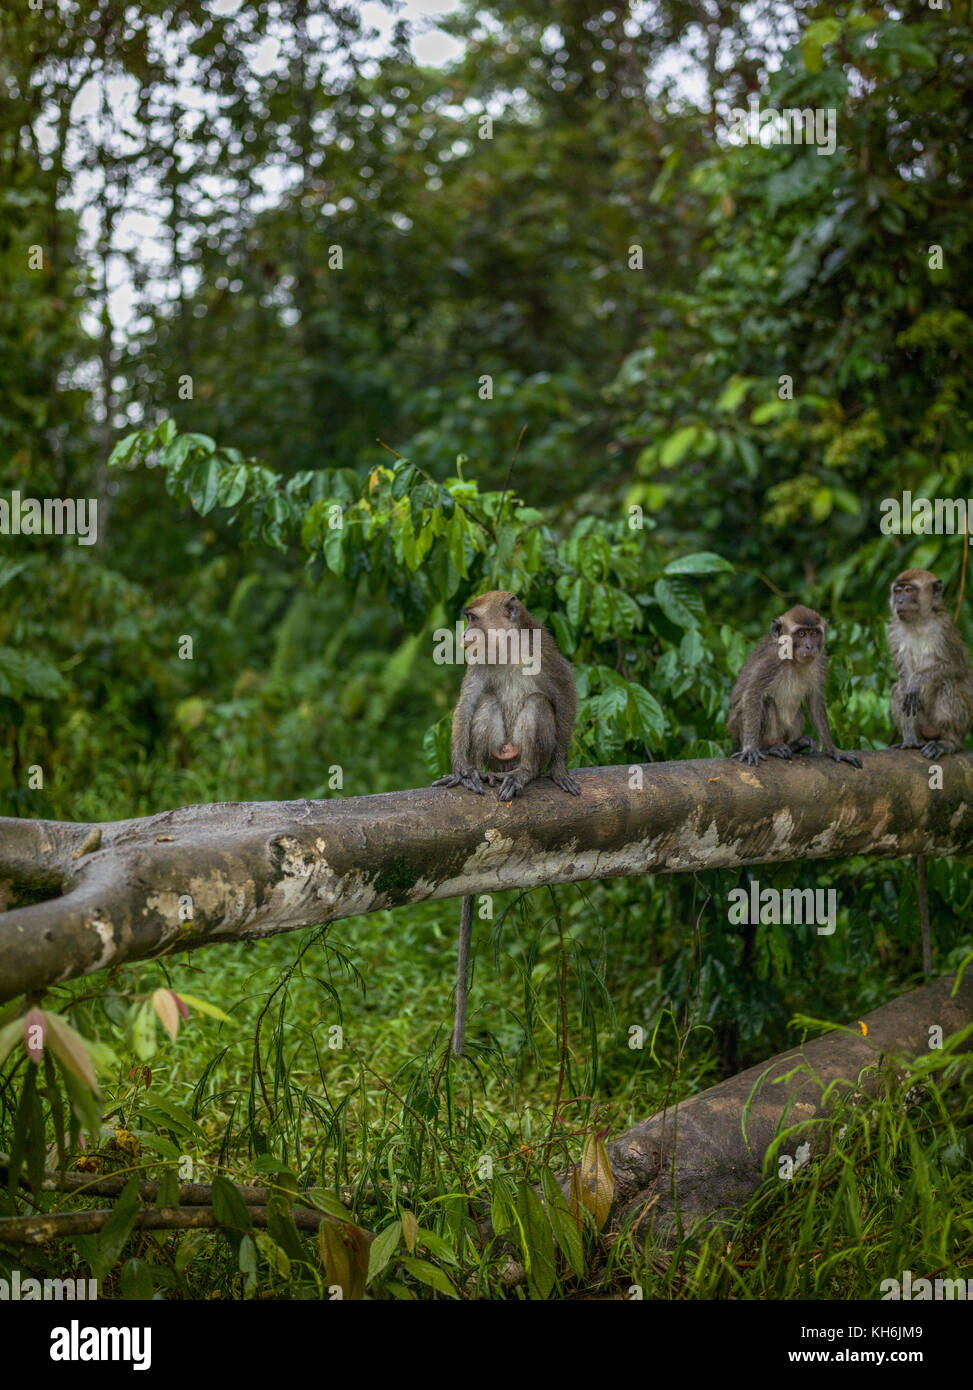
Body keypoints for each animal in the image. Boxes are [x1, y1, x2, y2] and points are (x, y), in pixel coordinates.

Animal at [432, 590, 581, 1054]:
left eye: (472, 618)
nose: (464, 635)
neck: (509, 648)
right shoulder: (478, 663)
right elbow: (467, 705)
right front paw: (460, 772)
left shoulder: (544, 650)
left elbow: (564, 692)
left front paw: (559, 768)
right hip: (497, 750)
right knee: (489, 705)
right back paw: (482, 775)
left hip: (523, 750)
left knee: (536, 705)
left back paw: (527, 773)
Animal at [727, 605, 863, 769]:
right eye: (802, 633)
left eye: (814, 633)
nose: (809, 646)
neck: (793, 659)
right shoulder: (771, 659)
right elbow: (754, 693)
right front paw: (751, 749)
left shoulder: (820, 659)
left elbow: (815, 700)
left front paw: (833, 750)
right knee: (766, 702)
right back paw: (768, 748)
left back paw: (795, 745)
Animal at [888, 569, 973, 760]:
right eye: (898, 591)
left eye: (909, 590)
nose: (899, 601)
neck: (919, 623)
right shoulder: (896, 633)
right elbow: (903, 677)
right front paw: (909, 738)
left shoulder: (944, 630)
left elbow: (958, 667)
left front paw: (917, 680)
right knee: (898, 689)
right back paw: (915, 740)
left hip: (963, 723)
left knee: (947, 683)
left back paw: (948, 742)